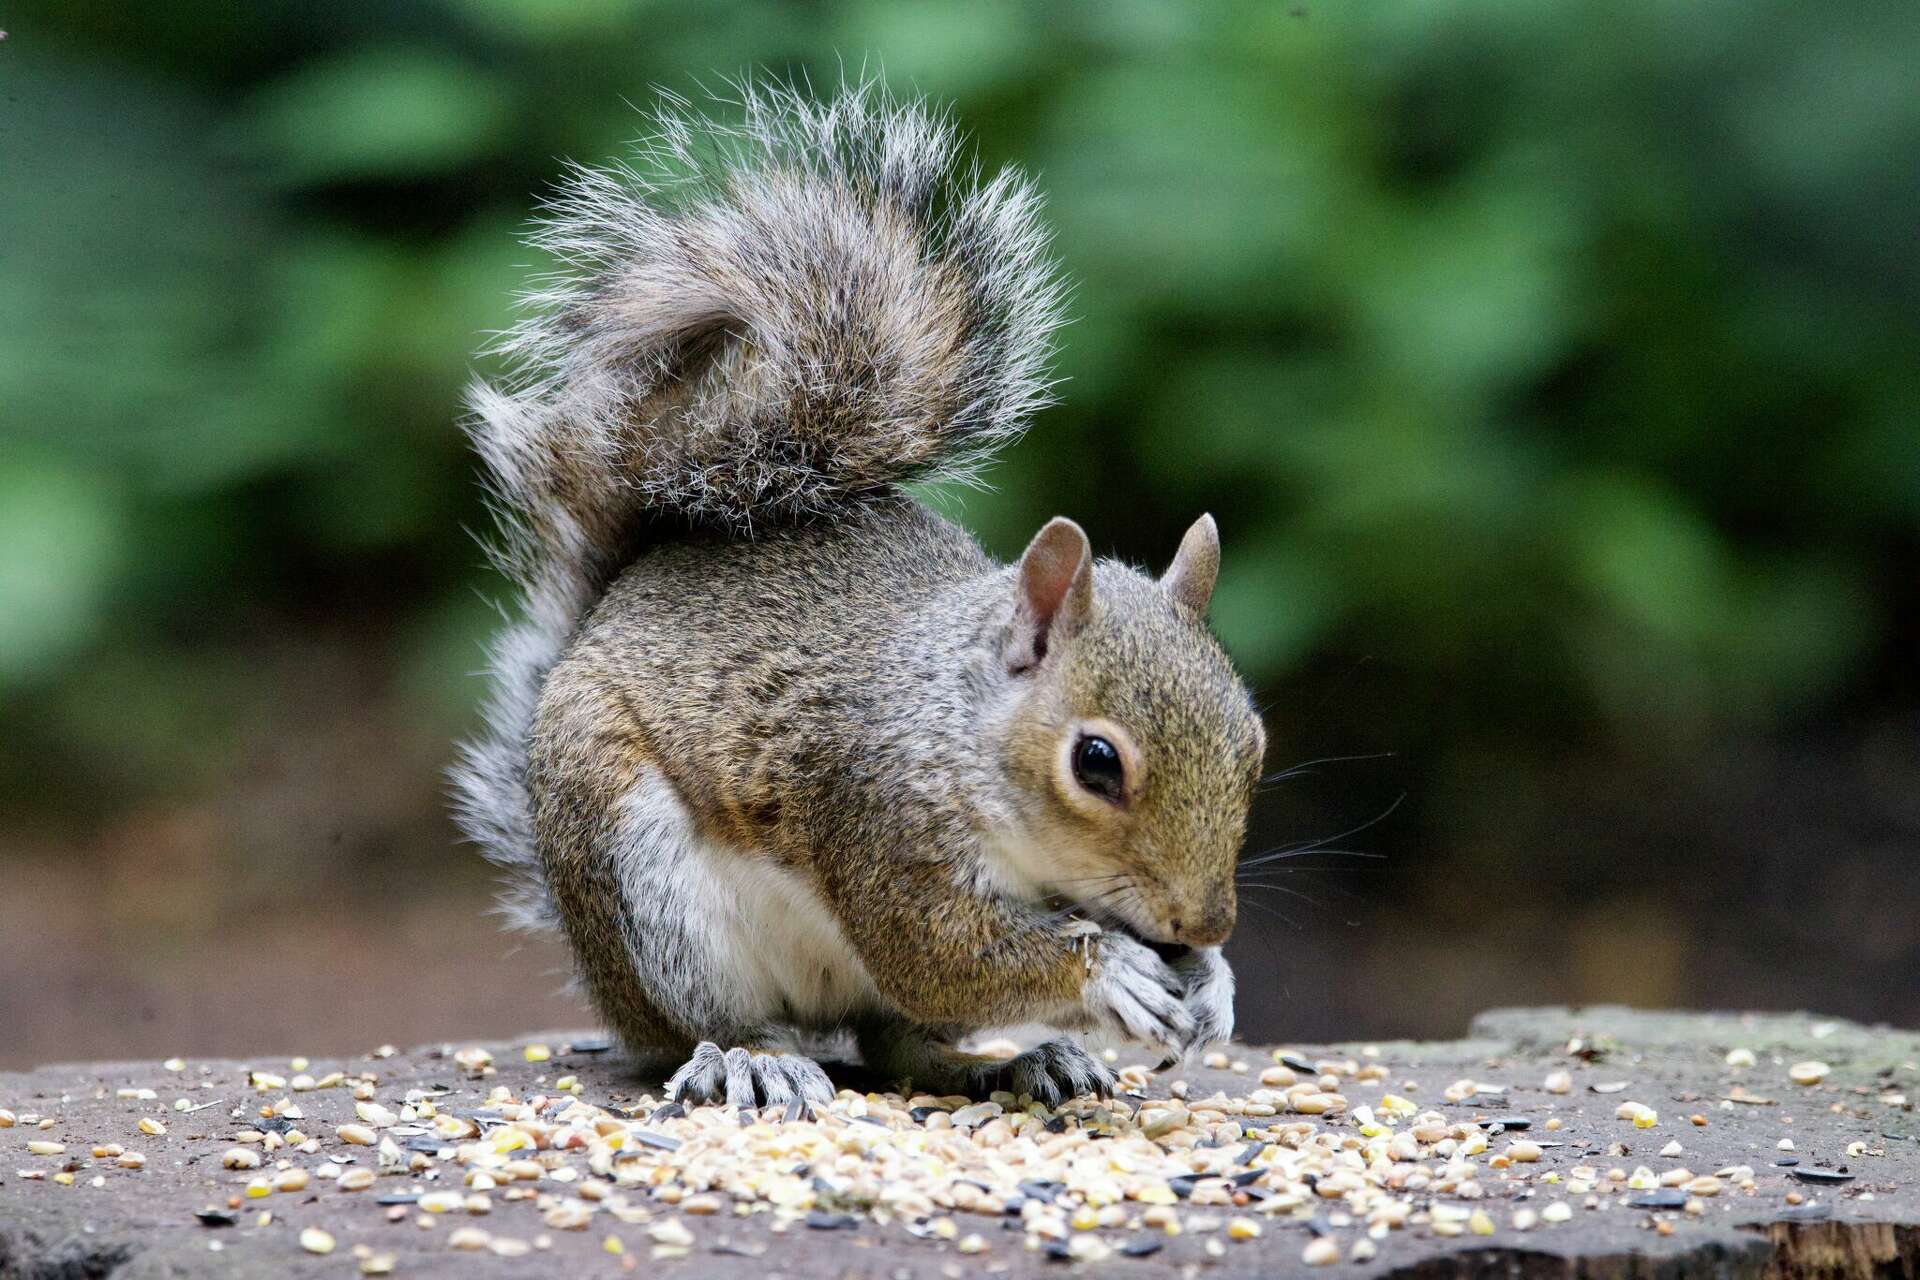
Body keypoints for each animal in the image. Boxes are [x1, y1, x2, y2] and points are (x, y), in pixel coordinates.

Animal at [452, 83, 1266, 1108]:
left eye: (1255, 744)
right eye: (1095, 763)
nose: (1206, 925)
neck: (955, 727)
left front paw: (1214, 985)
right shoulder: (876, 818)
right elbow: (937, 953)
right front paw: (1109, 972)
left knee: (899, 1046)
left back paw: (1022, 1061)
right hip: (641, 881)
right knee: (711, 1025)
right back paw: (756, 1060)